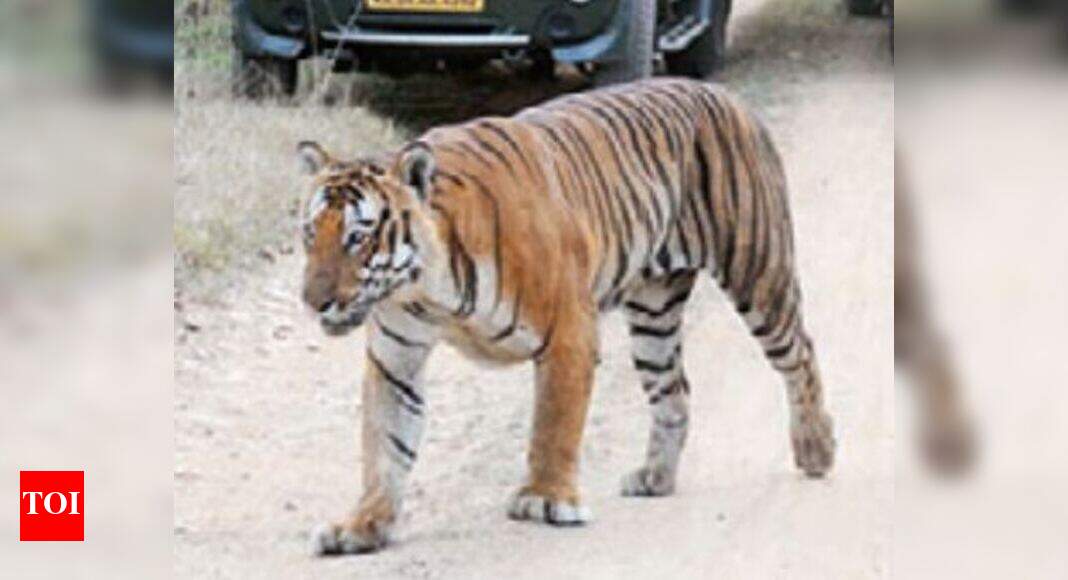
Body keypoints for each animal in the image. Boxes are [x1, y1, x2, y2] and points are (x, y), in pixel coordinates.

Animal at [297, 77, 836, 555]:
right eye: (309, 234)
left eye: (358, 238)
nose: (311, 301)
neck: (428, 289)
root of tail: (723, 92)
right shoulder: (396, 358)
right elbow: (385, 445)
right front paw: (363, 524)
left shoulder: (568, 333)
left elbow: (553, 422)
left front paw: (545, 498)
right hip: (654, 312)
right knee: (674, 390)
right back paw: (655, 477)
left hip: (758, 273)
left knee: (800, 353)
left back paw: (816, 448)